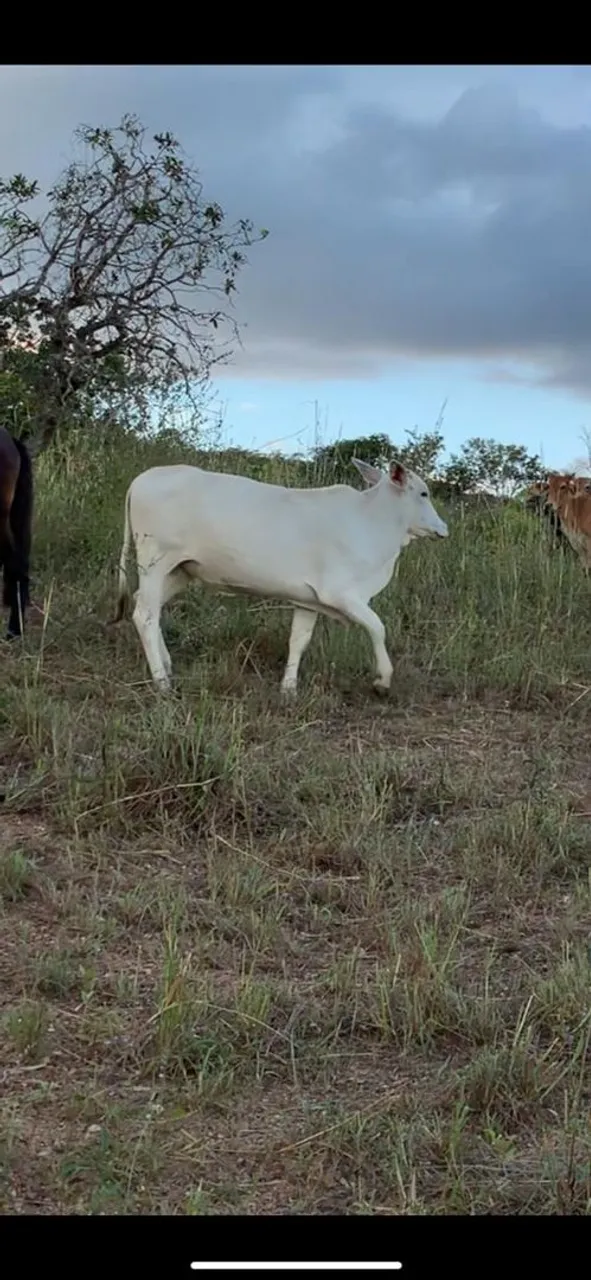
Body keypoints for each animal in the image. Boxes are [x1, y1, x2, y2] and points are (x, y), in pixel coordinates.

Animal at [110, 458, 449, 697]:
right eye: (423, 492)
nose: (443, 528)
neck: (372, 521)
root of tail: (141, 479)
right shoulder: (341, 594)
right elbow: (378, 628)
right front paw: (382, 681)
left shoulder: (310, 600)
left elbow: (299, 640)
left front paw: (288, 688)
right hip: (154, 562)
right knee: (144, 615)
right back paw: (162, 682)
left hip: (181, 570)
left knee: (149, 606)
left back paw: (168, 665)